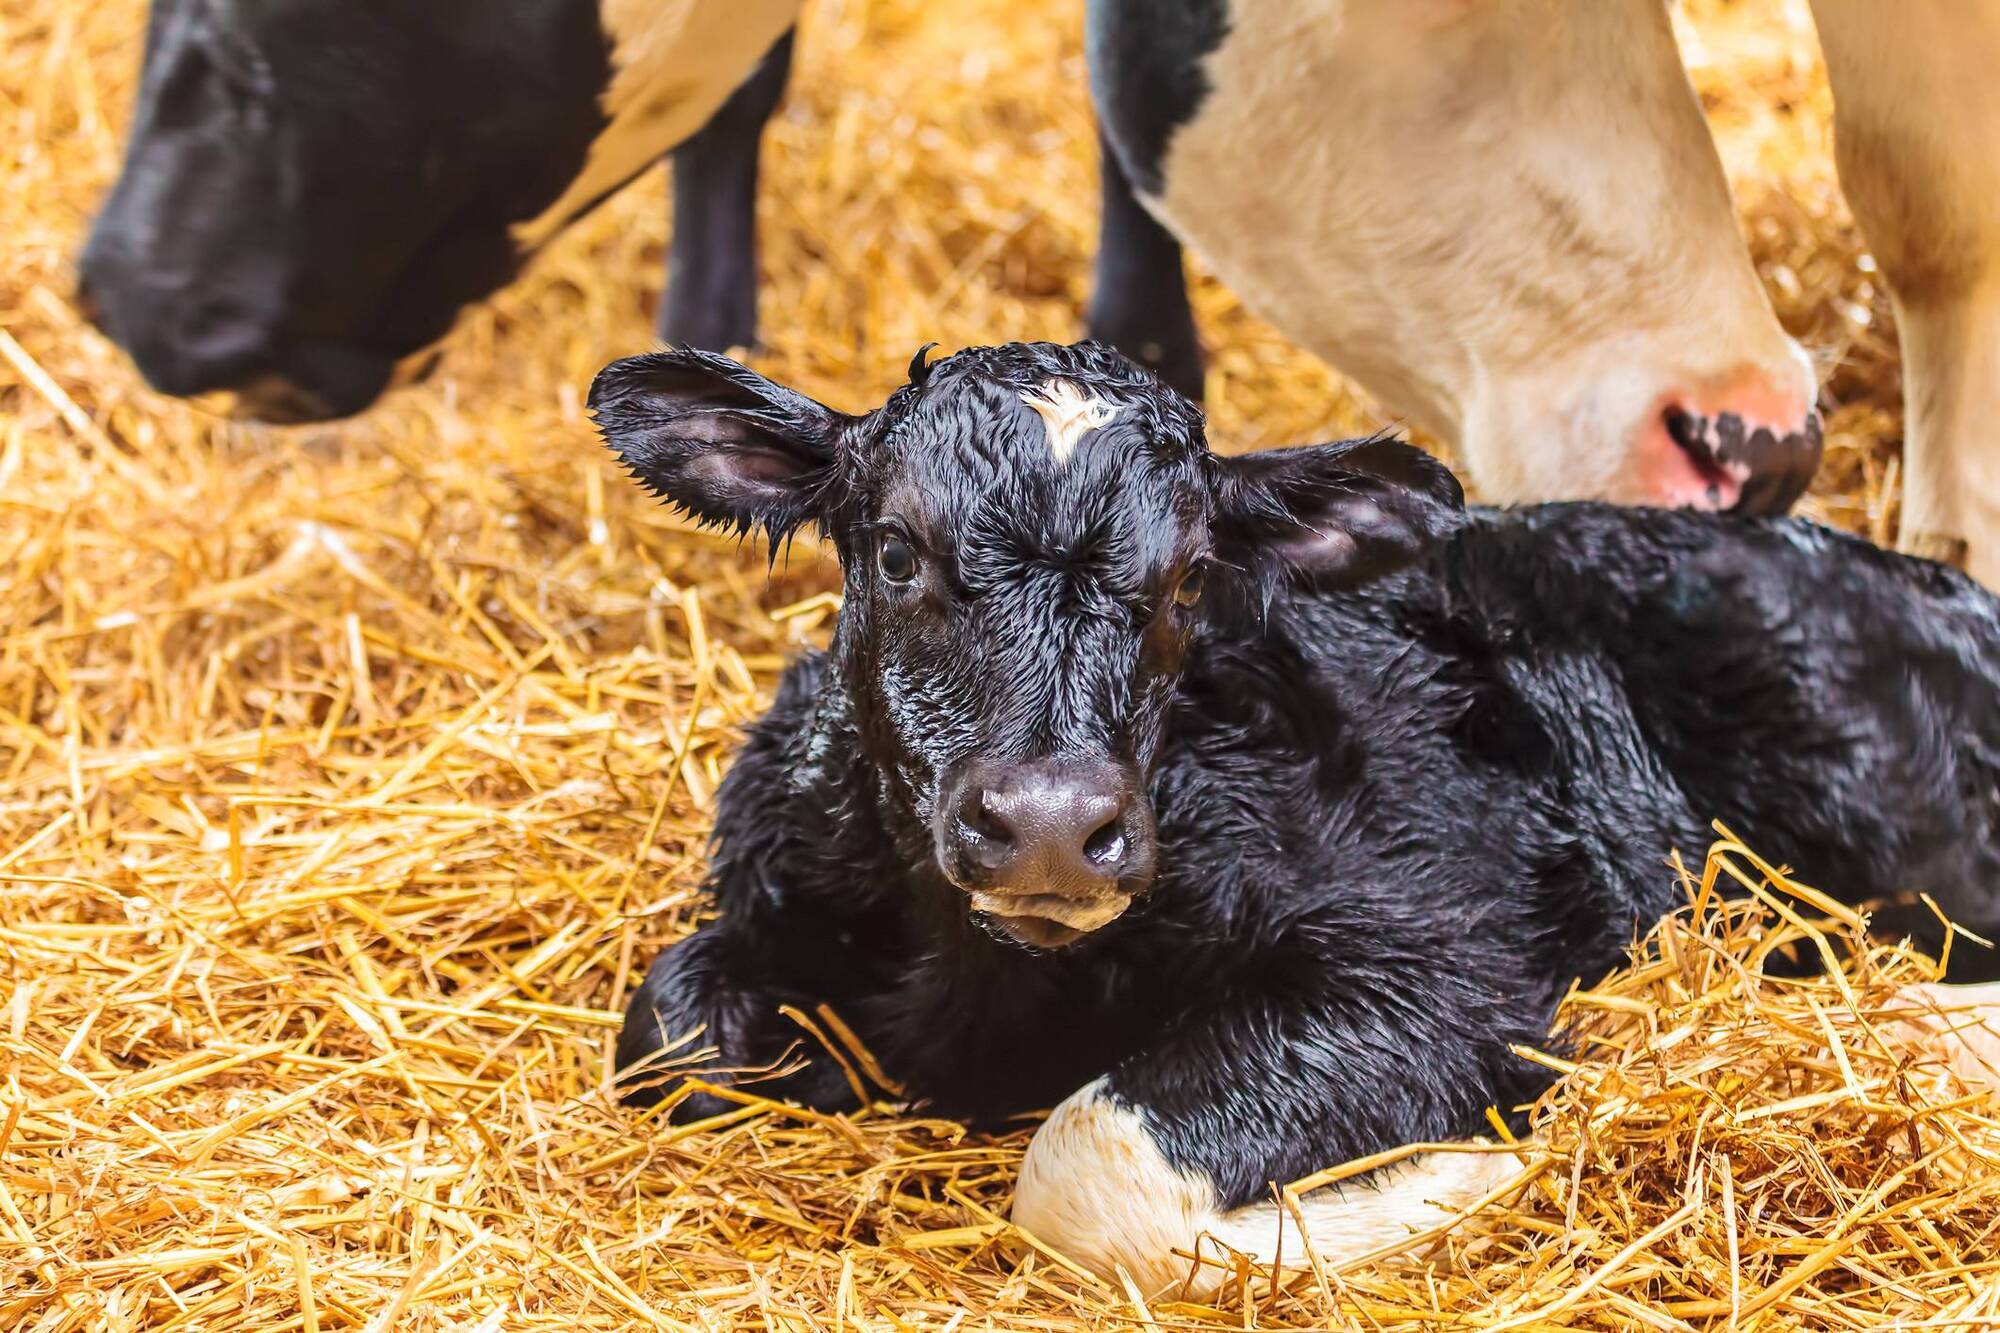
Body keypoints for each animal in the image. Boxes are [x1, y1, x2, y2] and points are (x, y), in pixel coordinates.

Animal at [593, 339, 2000, 1293]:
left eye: (1189, 579)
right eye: (895, 552)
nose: (1049, 822)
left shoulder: (1441, 964)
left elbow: (1087, 1161)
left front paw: (1478, 1170)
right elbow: (667, 1036)